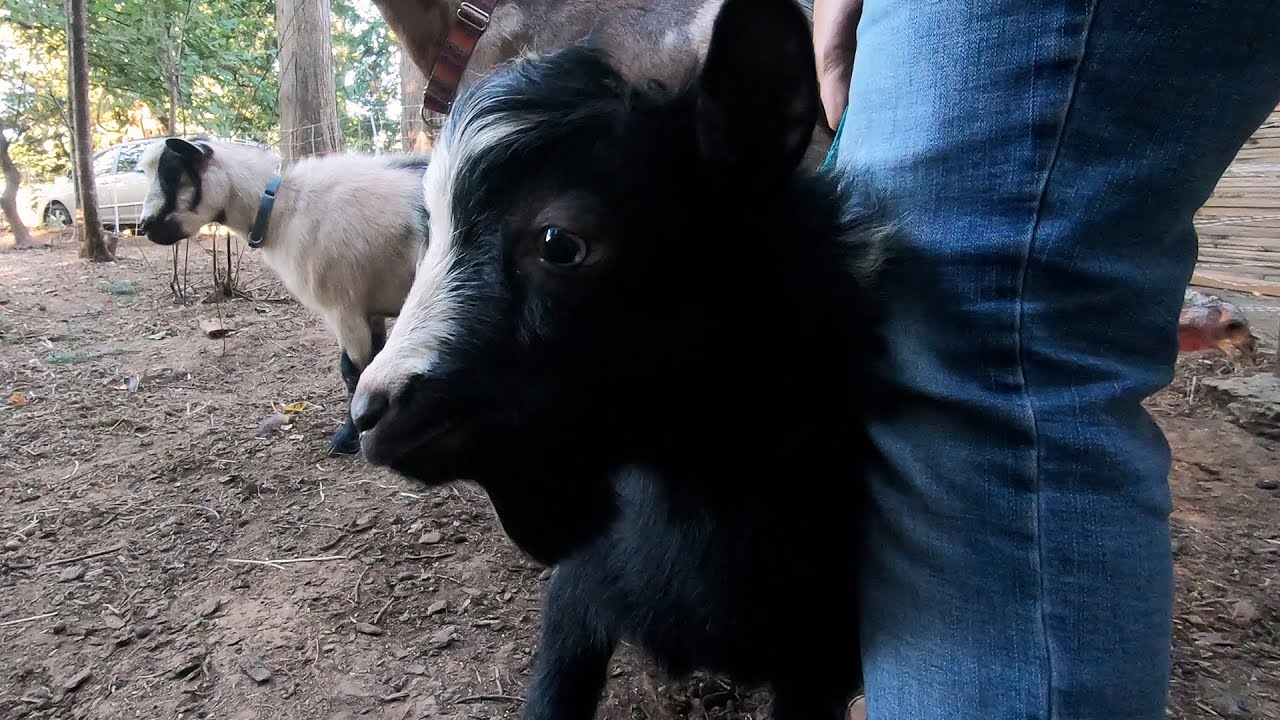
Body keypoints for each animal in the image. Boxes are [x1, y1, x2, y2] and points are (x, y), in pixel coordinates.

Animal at [137, 139, 430, 456]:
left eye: (174, 175)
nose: (145, 226)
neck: (284, 208)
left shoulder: (343, 308)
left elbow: (354, 371)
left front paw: (347, 439)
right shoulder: (367, 308)